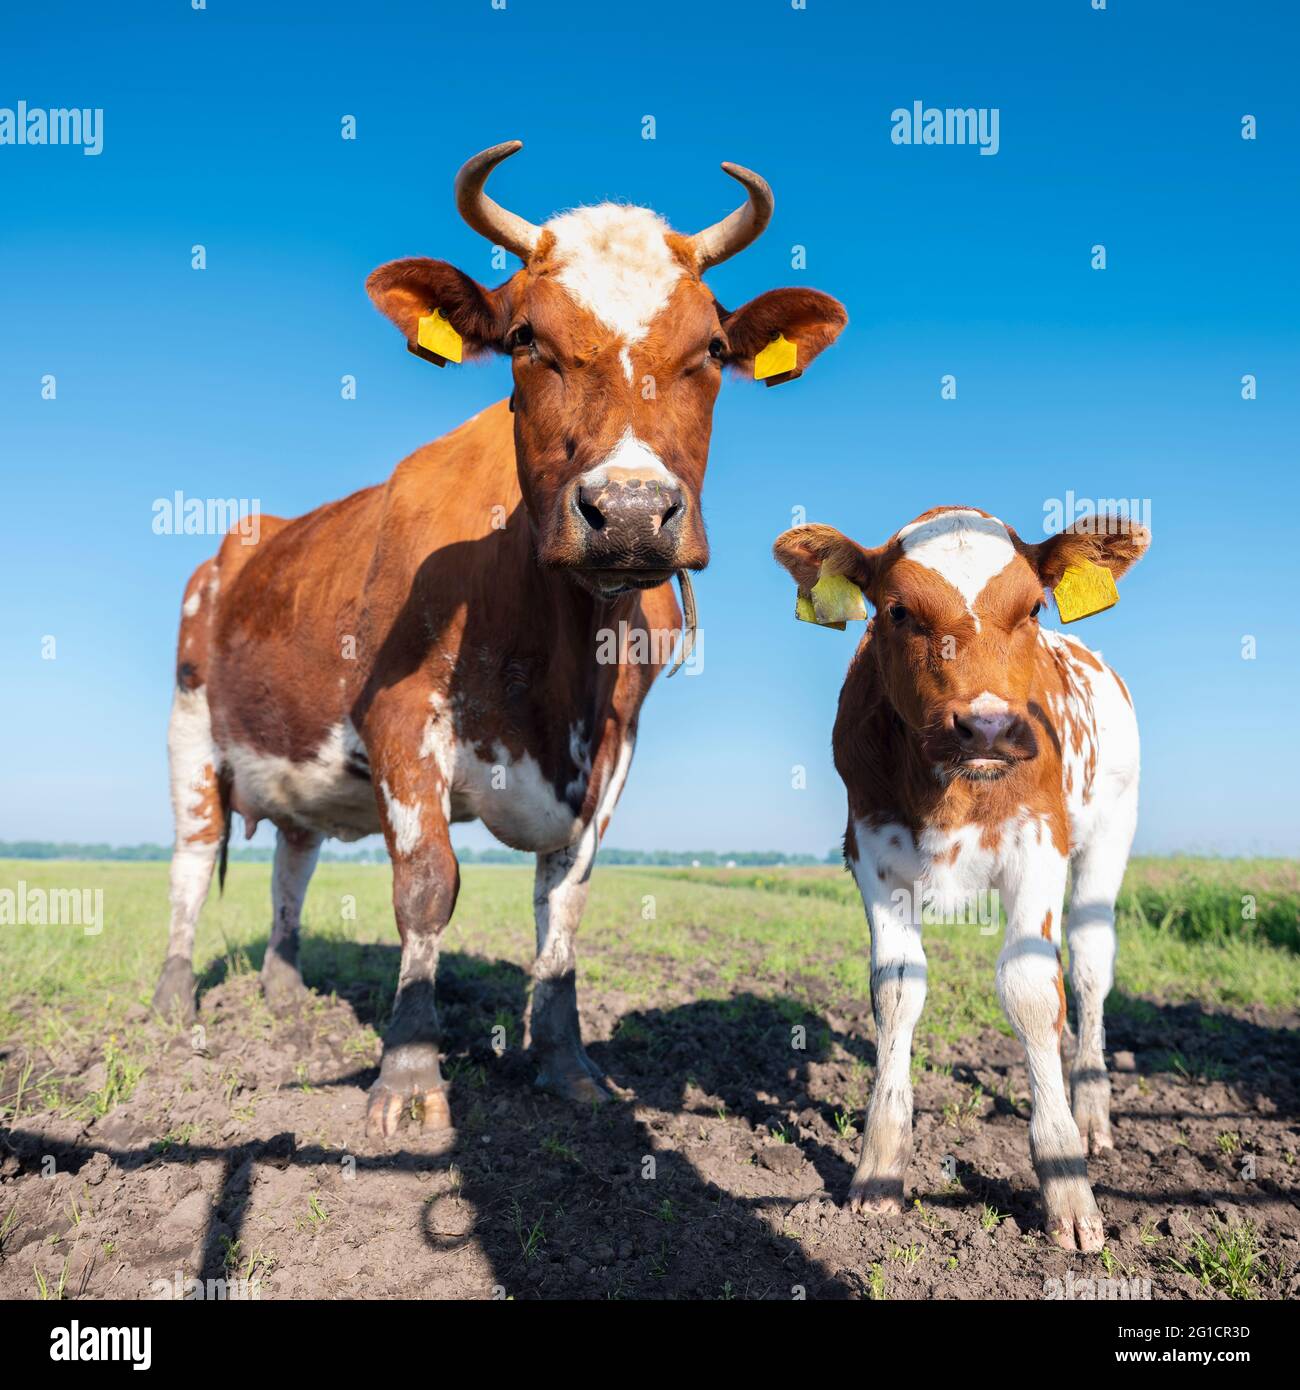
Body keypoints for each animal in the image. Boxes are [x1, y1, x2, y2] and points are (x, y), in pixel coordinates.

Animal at [153, 141, 848, 1138]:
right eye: (524, 339)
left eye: (713, 348)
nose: (629, 512)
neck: (560, 644)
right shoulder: (402, 714)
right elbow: (427, 886)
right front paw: (408, 1073)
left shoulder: (615, 746)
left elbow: (565, 901)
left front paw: (564, 1063)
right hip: (189, 729)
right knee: (189, 856)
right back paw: (174, 1001)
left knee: (292, 861)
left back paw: (285, 994)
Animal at [773, 507, 1149, 1251]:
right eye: (896, 610)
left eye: (1033, 607)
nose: (988, 726)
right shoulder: (870, 848)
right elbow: (896, 991)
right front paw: (879, 1171)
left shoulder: (1041, 844)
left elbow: (1033, 991)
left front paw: (1066, 1184)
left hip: (1109, 837)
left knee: (1090, 969)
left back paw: (1092, 1113)